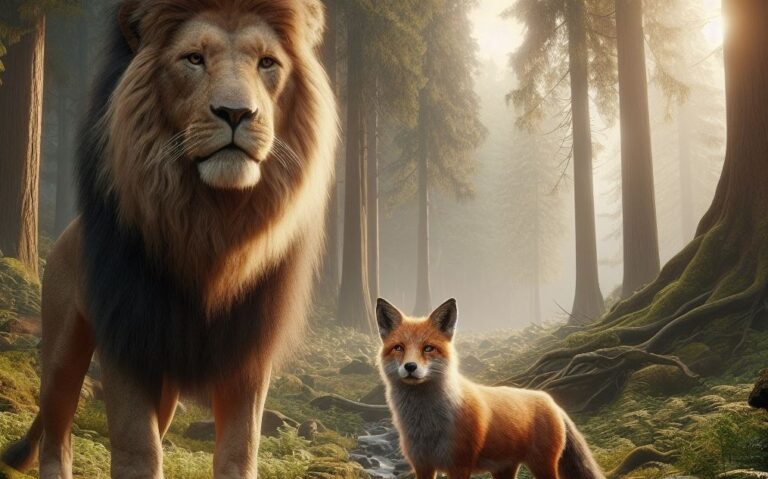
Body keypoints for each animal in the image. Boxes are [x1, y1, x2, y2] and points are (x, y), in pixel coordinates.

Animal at [1, 1, 336, 478]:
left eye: (267, 63)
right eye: (194, 59)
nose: (237, 113)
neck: (211, 225)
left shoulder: (248, 356)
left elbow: (238, 450)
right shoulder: (127, 340)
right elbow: (138, 448)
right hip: (63, 350)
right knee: (55, 434)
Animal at [376, 297, 605, 479]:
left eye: (428, 348)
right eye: (398, 348)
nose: (410, 367)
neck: (426, 424)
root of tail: (549, 399)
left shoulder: (459, 465)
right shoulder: (422, 465)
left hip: (542, 466)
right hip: (504, 470)